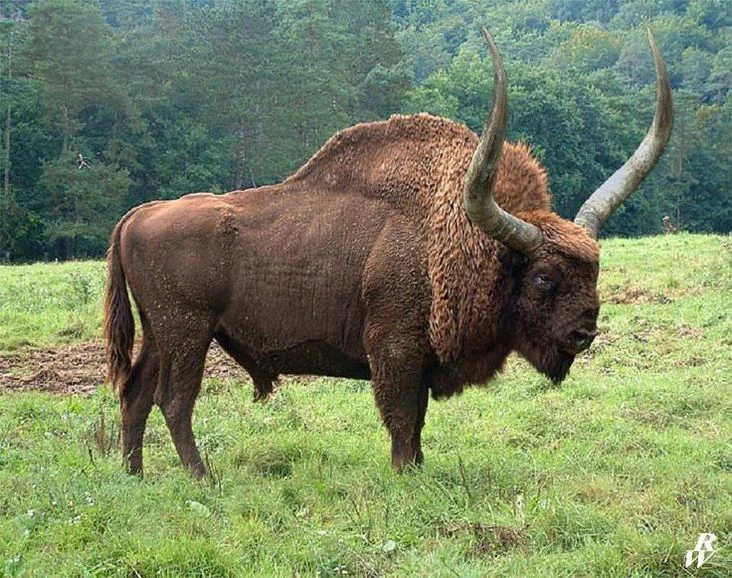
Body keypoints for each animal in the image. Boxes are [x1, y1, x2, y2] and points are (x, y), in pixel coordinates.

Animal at [105, 28, 673, 477]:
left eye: (594, 270)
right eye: (543, 278)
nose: (583, 333)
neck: (468, 238)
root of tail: (137, 216)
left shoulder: (417, 362)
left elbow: (415, 422)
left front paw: (417, 469)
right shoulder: (396, 351)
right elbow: (402, 419)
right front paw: (405, 474)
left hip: (161, 334)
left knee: (135, 395)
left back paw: (134, 475)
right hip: (188, 332)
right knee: (174, 400)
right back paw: (201, 477)